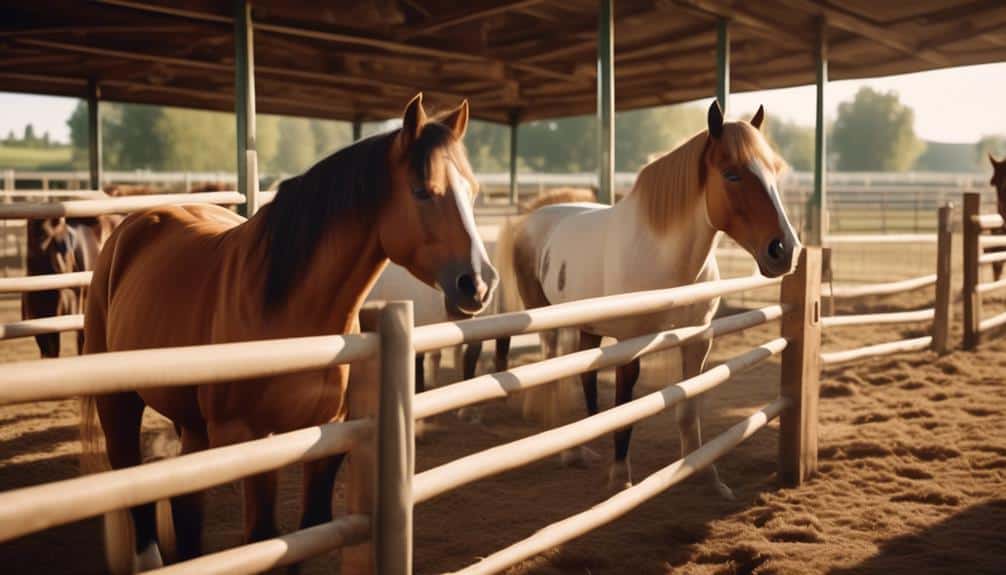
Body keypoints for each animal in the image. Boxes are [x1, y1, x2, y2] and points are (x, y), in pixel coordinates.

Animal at [79, 94, 497, 572]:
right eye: (423, 190)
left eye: (473, 191)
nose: (478, 283)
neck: (285, 308)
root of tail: (137, 223)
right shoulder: (253, 440)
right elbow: (264, 536)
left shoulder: (326, 437)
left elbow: (306, 533)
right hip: (120, 403)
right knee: (133, 484)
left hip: (193, 425)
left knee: (186, 507)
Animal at [494, 101, 799, 494]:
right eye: (732, 174)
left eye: (775, 171)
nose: (785, 250)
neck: (666, 258)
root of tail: (530, 219)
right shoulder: (631, 344)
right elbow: (626, 410)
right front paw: (620, 478)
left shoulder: (697, 340)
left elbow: (688, 407)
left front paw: (705, 475)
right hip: (548, 322)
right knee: (556, 375)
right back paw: (571, 453)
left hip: (588, 328)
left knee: (586, 381)